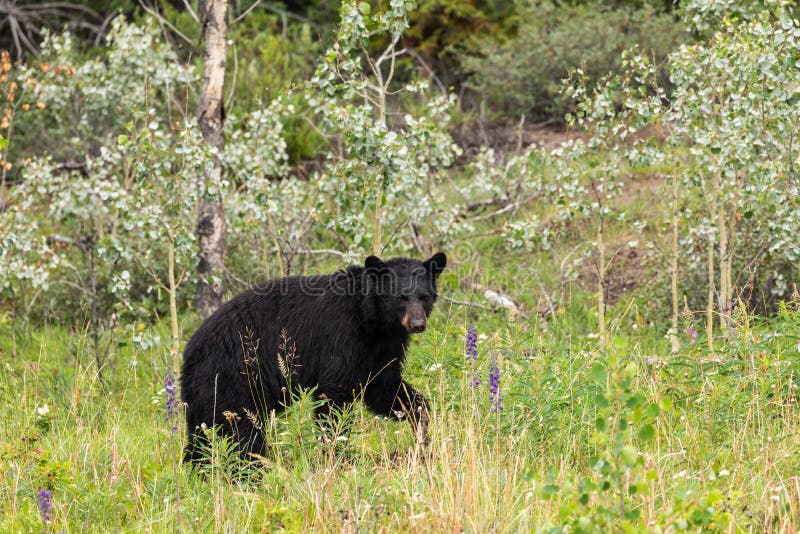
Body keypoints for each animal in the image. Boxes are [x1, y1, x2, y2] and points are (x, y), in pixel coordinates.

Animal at [180, 252, 447, 463]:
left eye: (424, 296)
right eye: (400, 298)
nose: (417, 324)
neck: (374, 322)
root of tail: (189, 353)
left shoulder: (382, 349)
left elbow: (385, 387)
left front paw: (422, 422)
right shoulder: (342, 335)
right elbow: (334, 392)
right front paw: (337, 451)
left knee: (203, 435)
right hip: (233, 380)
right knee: (240, 432)